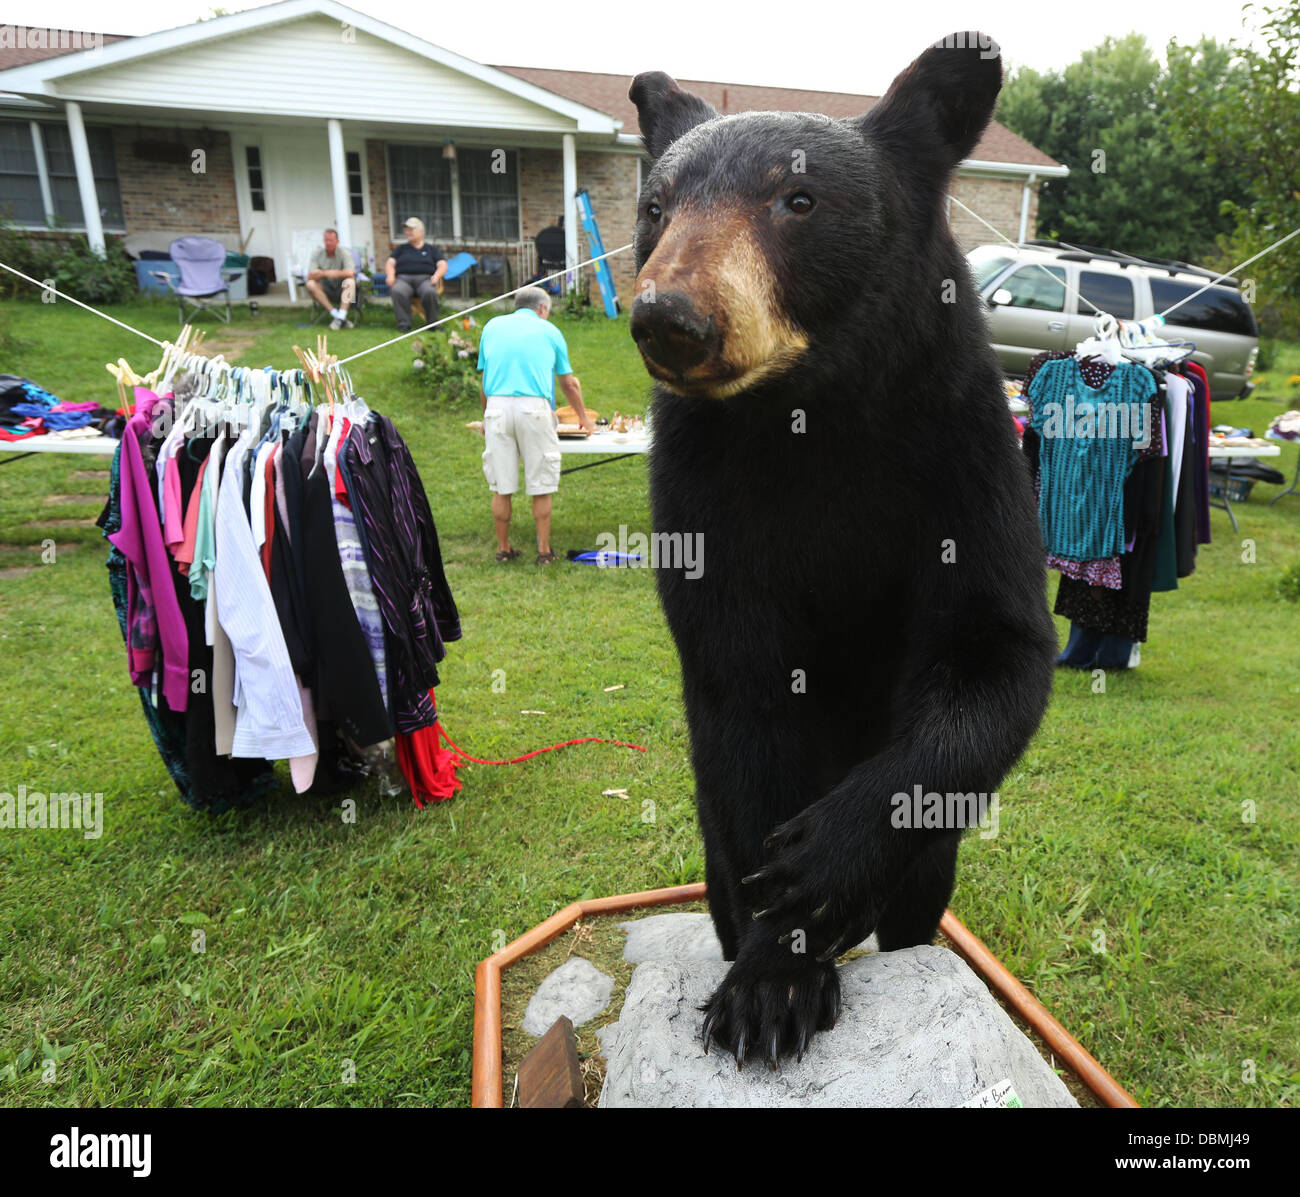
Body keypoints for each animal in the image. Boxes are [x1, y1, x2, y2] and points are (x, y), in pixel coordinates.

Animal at [626, 32, 1058, 1068]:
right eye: (656, 207)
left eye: (798, 199)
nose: (672, 317)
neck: (814, 414)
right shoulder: (700, 482)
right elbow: (742, 681)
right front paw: (769, 984)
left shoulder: (964, 448)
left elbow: (997, 648)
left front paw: (819, 861)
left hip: (933, 858)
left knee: (920, 898)